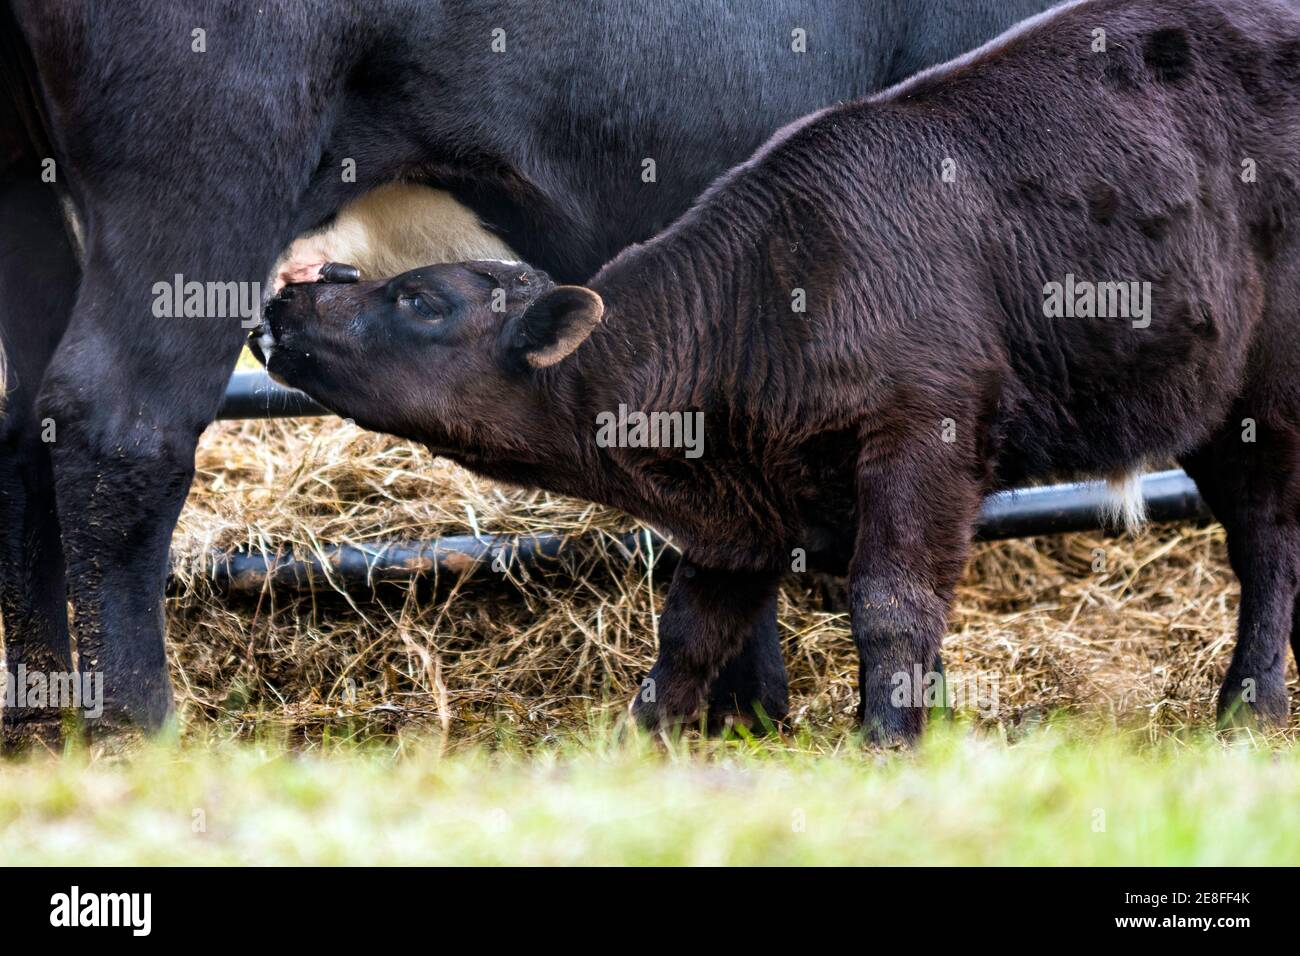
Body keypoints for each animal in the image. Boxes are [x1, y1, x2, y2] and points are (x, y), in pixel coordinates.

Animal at [0, 0, 1063, 748]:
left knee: (23, 423)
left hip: (31, 188)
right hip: (208, 161)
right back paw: (137, 728)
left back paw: (37, 713)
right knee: (118, 422)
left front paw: (746, 715)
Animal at [257, 0, 1300, 745]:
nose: (288, 301)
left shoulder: (922, 441)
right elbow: (689, 636)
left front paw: (887, 740)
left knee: (1267, 543)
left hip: (1265, 404)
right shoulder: (741, 518)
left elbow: (891, 605)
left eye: (423, 300)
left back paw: (1246, 709)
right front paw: (638, 741)